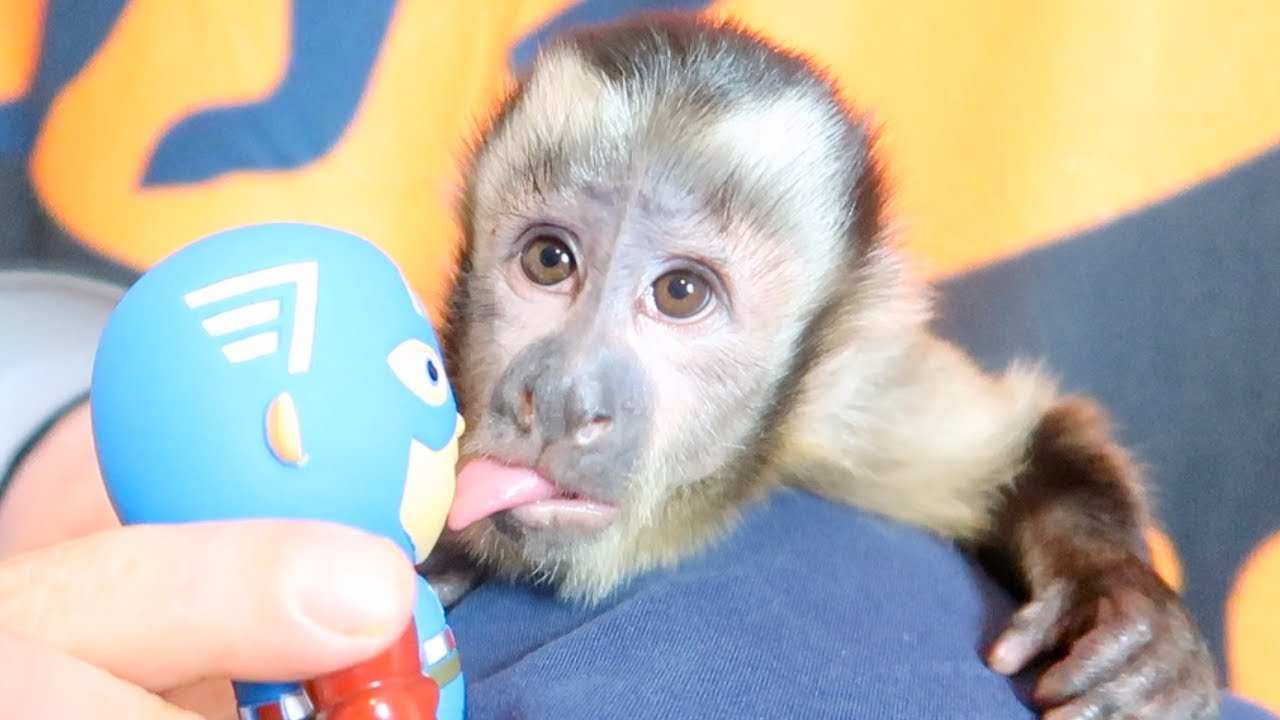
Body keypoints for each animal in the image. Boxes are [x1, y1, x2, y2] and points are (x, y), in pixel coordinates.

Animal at [432, 12, 1220, 720]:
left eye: (680, 292)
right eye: (549, 259)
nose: (558, 396)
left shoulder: (852, 410)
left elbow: (1029, 438)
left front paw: (1115, 595)